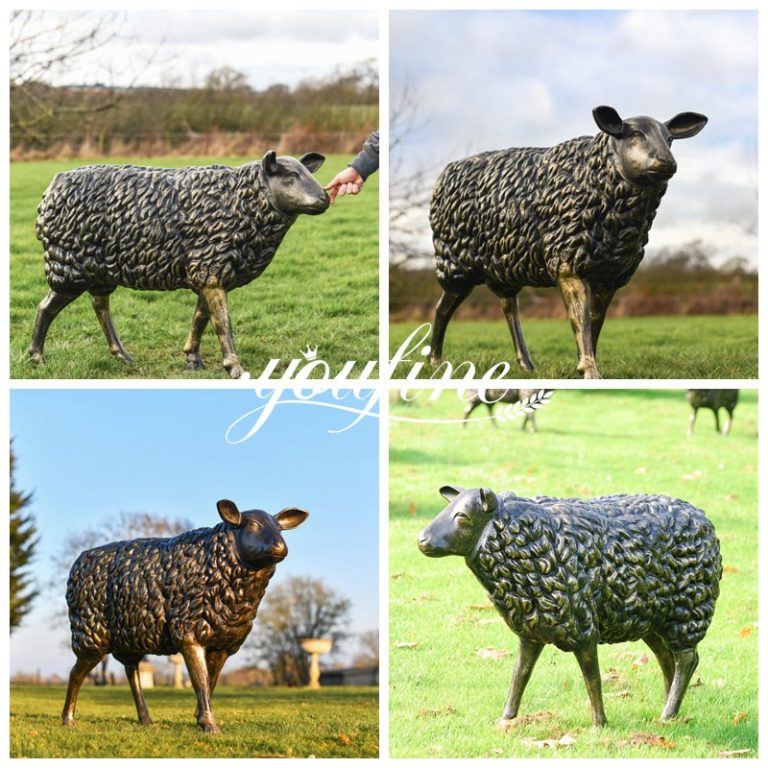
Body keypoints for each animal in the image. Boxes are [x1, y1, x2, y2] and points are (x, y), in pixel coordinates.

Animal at [29, 151, 330, 379]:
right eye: (291, 176)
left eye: (308, 172)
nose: (324, 198)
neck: (241, 202)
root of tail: (51, 189)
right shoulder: (210, 269)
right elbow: (222, 322)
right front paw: (234, 367)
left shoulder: (208, 270)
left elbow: (201, 318)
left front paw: (192, 359)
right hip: (69, 264)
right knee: (47, 307)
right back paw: (37, 358)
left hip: (98, 268)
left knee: (100, 305)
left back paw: (122, 355)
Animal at [62, 499, 309, 733]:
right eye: (254, 525)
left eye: (280, 528)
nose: (280, 547)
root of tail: (80, 560)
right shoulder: (190, 633)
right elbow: (200, 680)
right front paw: (208, 723)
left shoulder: (222, 642)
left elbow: (210, 681)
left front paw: (200, 716)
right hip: (90, 632)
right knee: (76, 674)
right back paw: (68, 719)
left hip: (129, 635)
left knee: (132, 672)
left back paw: (146, 719)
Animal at [418, 486, 721, 726]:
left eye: (462, 516)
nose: (421, 540)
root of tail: (703, 518)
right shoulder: (531, 628)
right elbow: (519, 675)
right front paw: (506, 718)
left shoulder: (583, 627)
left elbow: (592, 680)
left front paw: (599, 724)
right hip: (651, 616)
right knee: (667, 658)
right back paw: (671, 710)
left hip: (688, 611)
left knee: (687, 659)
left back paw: (667, 713)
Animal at [428, 106, 708, 379]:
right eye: (635, 134)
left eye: (669, 139)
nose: (666, 162)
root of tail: (445, 173)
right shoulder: (567, 263)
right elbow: (579, 319)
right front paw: (589, 370)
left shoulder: (609, 273)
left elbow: (594, 320)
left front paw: (585, 369)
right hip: (455, 262)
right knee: (442, 309)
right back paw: (435, 361)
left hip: (503, 263)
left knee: (509, 306)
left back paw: (525, 364)